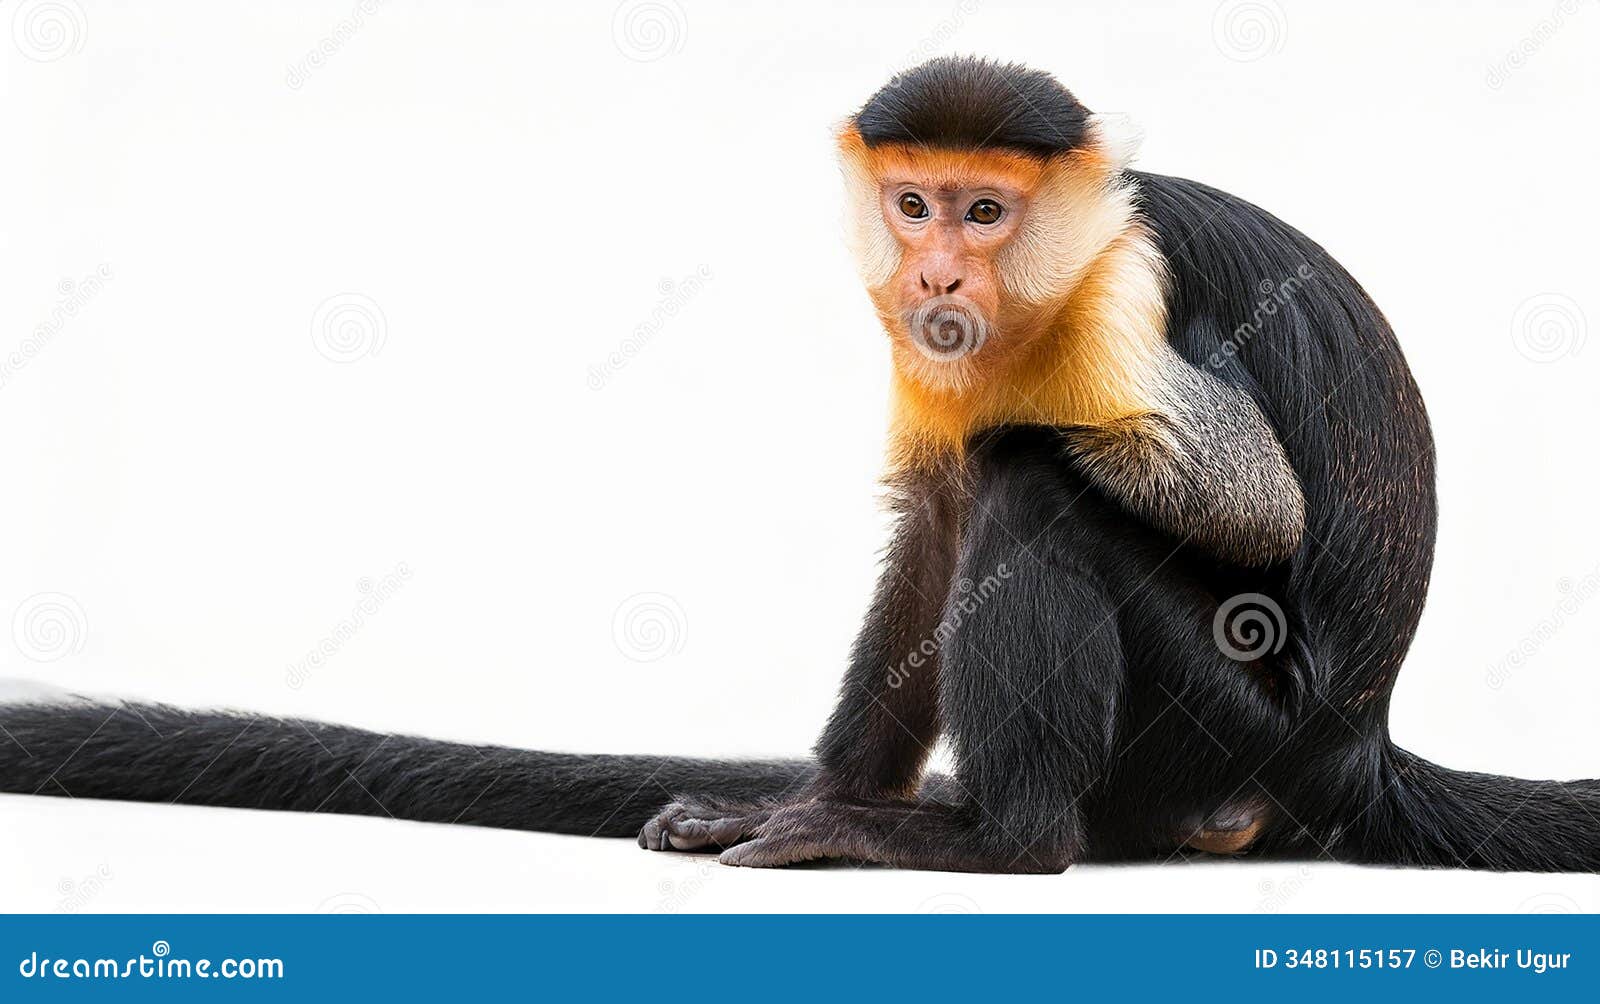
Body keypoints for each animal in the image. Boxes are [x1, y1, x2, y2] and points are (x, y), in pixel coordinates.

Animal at [2, 56, 1596, 873]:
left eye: (983, 211)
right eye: (914, 208)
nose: (941, 273)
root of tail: (1353, 753)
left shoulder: (1118, 297)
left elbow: (1245, 515)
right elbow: (930, 527)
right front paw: (809, 791)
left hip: (1234, 732)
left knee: (1040, 497)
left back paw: (999, 841)